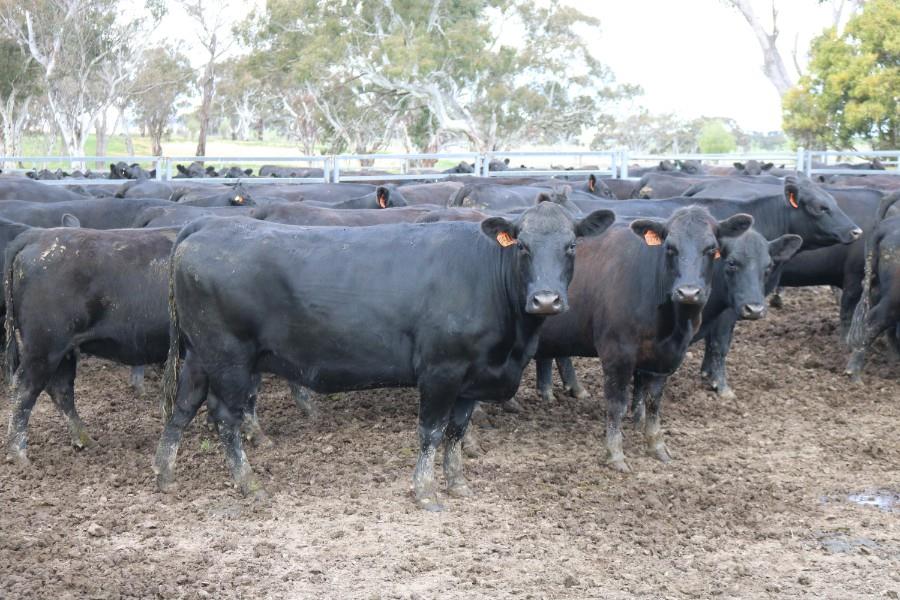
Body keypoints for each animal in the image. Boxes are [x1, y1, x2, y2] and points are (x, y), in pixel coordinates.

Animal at [154, 202, 616, 509]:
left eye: (571, 246)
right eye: (522, 246)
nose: (546, 299)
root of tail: (210, 223)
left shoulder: (472, 378)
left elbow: (457, 432)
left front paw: (457, 482)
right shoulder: (441, 370)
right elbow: (431, 431)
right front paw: (426, 492)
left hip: (199, 357)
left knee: (182, 409)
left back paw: (164, 475)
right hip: (228, 357)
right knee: (224, 418)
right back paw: (248, 483)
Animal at [534, 207, 752, 471]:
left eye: (711, 249)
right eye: (670, 248)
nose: (688, 292)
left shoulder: (665, 358)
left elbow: (653, 402)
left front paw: (657, 446)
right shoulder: (617, 352)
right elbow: (617, 404)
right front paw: (615, 455)